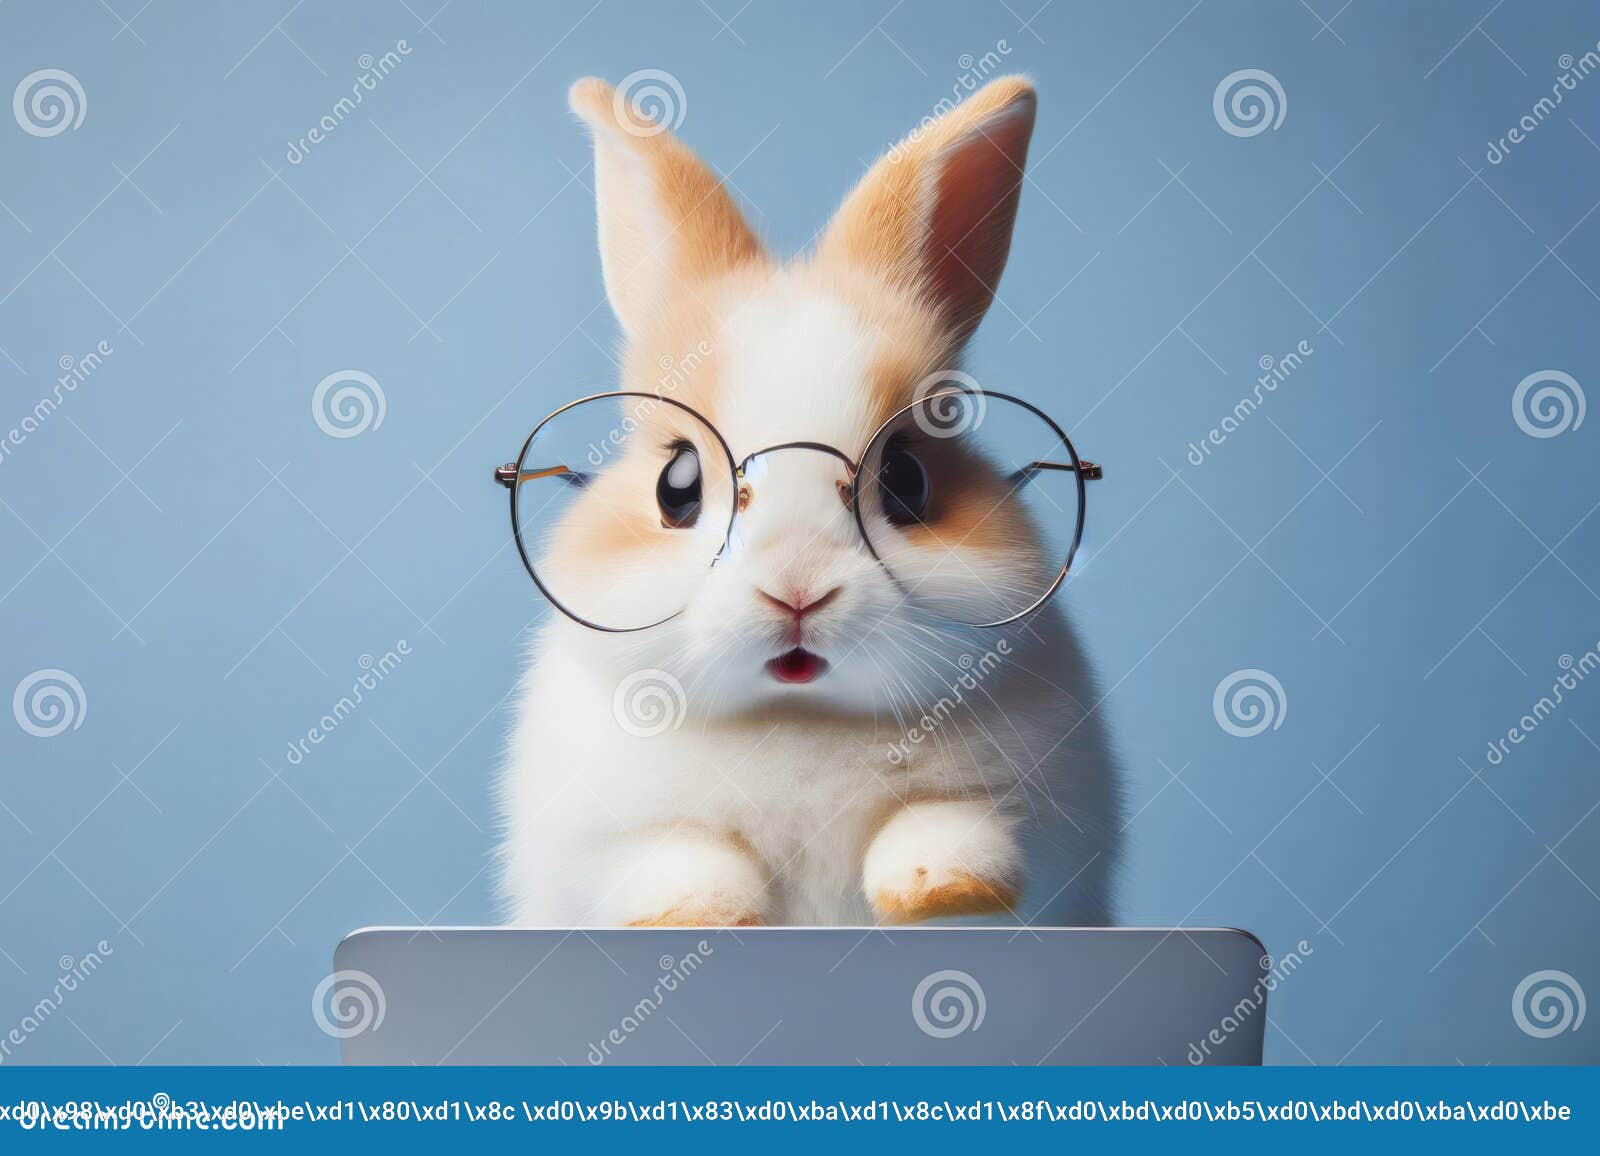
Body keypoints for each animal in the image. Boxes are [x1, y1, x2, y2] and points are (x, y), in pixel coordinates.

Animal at [494, 74, 1122, 927]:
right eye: (676, 487)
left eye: (907, 481)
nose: (797, 591)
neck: (798, 715)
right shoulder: (617, 836)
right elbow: (676, 853)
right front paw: (700, 911)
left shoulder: (1017, 808)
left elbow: (947, 824)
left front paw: (942, 890)